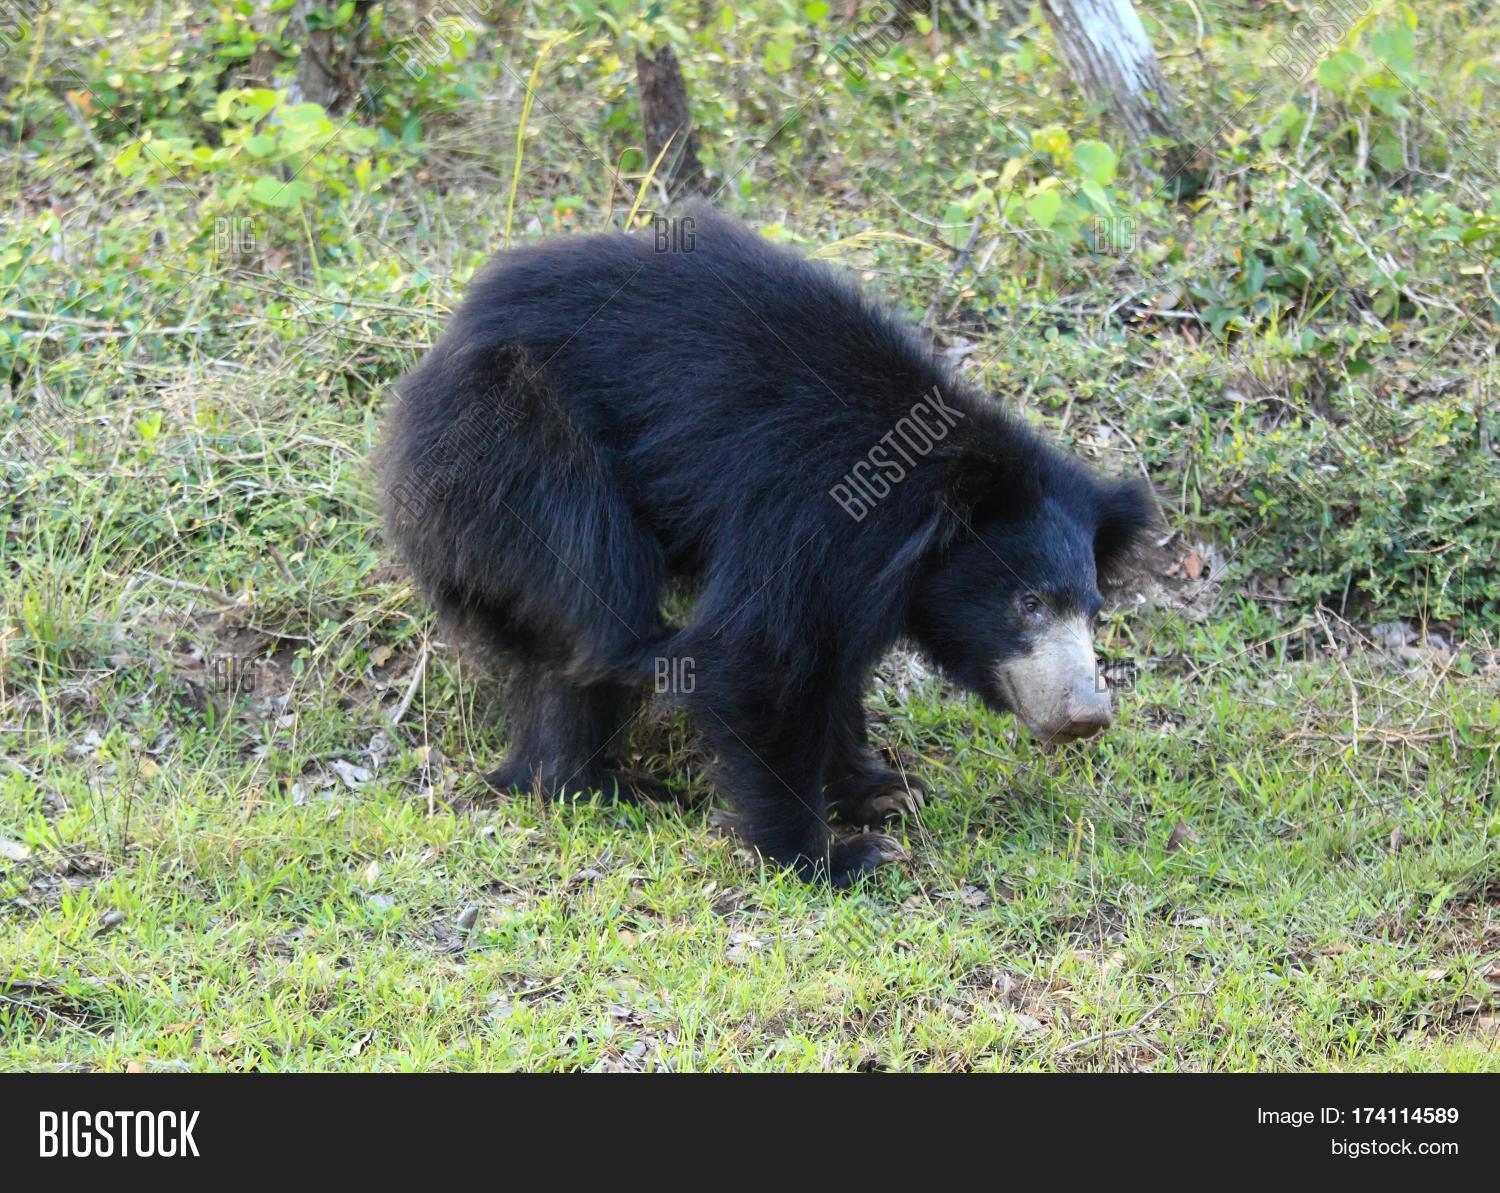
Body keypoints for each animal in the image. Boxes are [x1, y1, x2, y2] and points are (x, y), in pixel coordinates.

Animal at [379, 203, 1155, 886]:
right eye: (1029, 602)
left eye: (1092, 612)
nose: (1087, 716)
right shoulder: (807, 508)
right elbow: (759, 656)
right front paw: (833, 857)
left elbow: (833, 658)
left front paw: (883, 788)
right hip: (517, 446)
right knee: (596, 597)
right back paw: (609, 773)